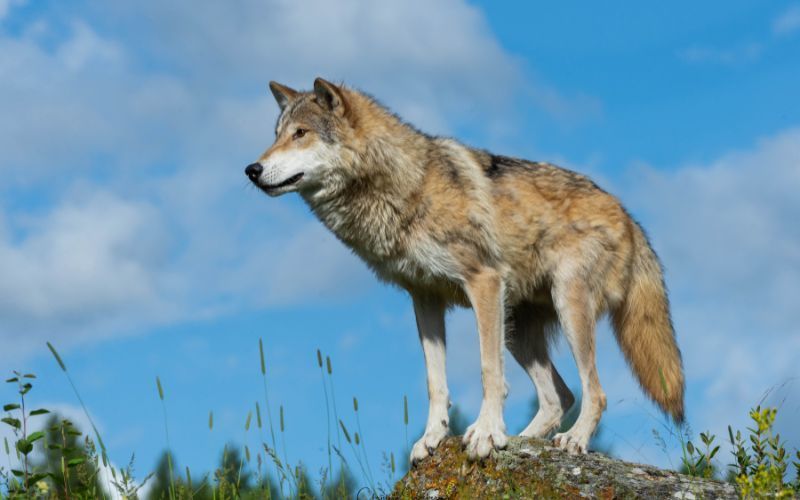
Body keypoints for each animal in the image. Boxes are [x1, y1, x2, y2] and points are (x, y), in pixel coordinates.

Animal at [245, 78, 684, 461]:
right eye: (276, 134)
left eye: (300, 133)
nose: (252, 169)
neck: (407, 186)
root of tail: (628, 215)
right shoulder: (424, 299)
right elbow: (435, 382)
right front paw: (433, 438)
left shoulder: (483, 282)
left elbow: (488, 371)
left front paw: (486, 434)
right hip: (518, 329)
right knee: (560, 396)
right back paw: (522, 441)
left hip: (565, 306)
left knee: (594, 391)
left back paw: (572, 441)